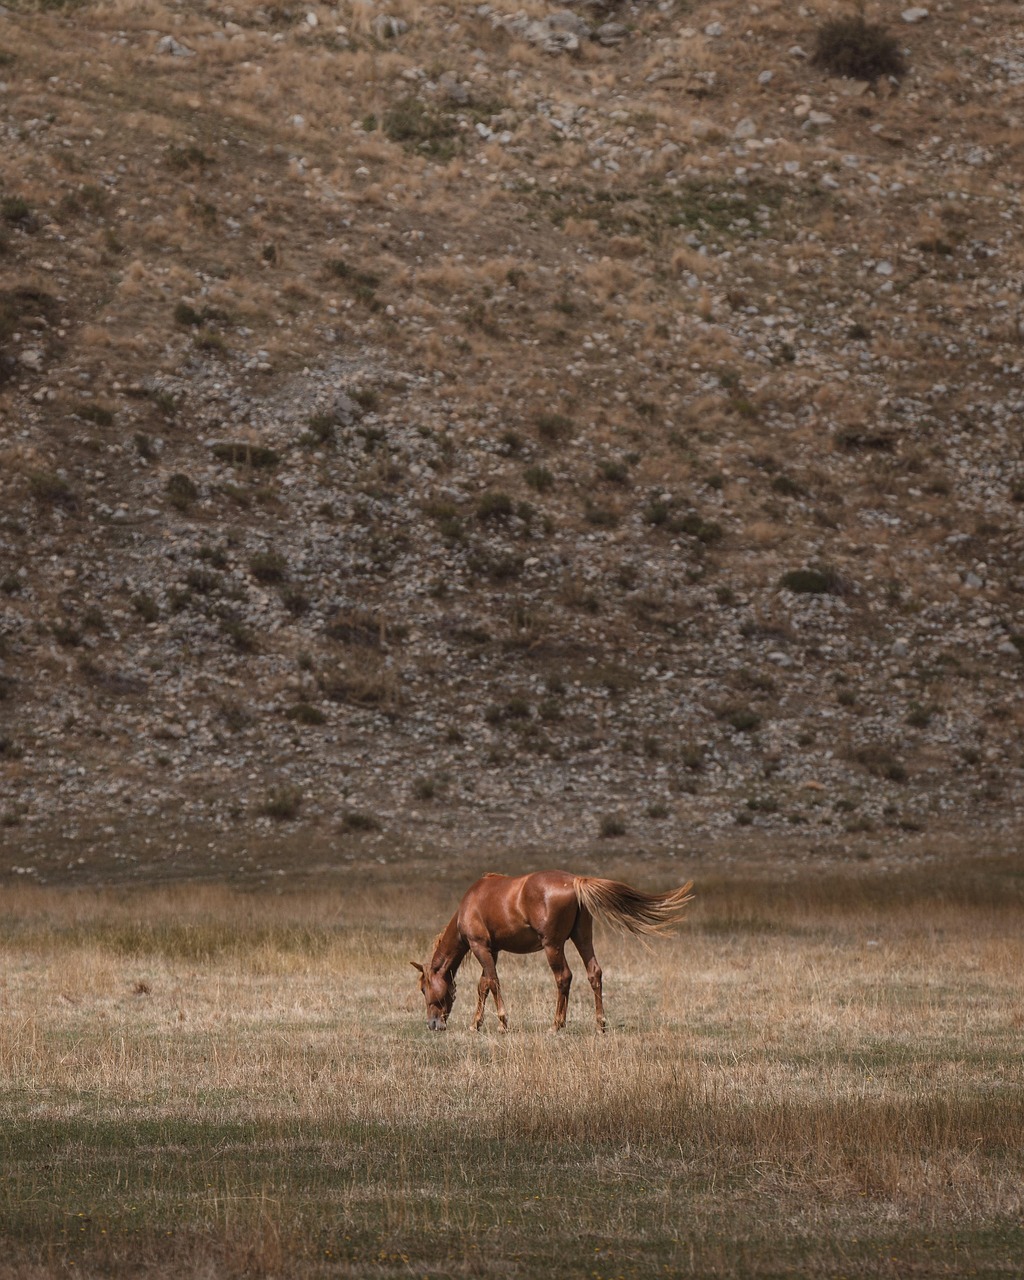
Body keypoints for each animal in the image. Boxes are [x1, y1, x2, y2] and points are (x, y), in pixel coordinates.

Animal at [411, 870, 694, 1033]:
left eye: (424, 989)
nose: (432, 1024)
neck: (470, 903)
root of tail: (575, 881)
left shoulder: (481, 946)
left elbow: (493, 982)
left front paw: (502, 1022)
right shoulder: (493, 950)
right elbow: (484, 985)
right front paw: (475, 1024)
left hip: (553, 946)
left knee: (564, 977)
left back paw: (556, 1025)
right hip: (582, 939)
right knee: (594, 973)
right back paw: (599, 1024)